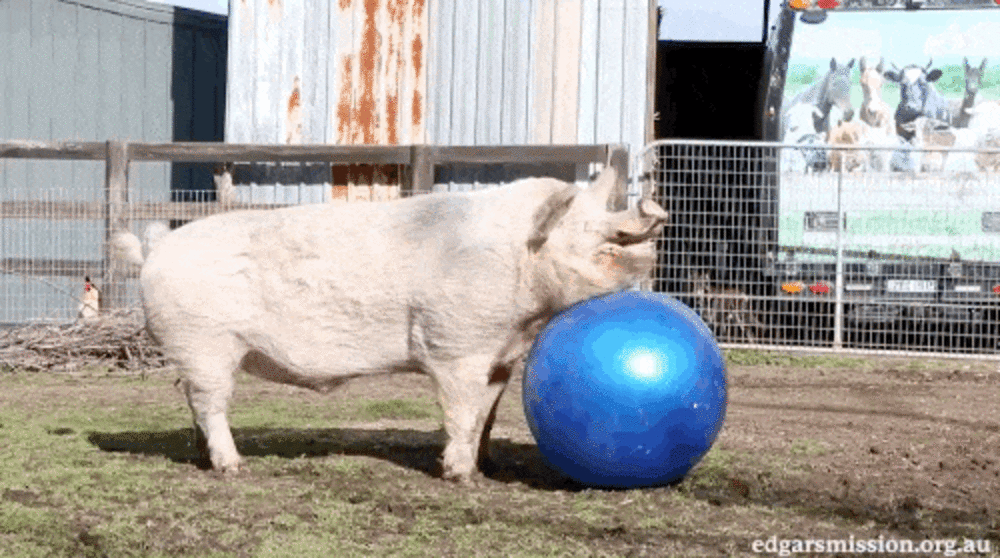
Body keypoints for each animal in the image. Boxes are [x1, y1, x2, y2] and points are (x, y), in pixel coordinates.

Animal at [114, 162, 669, 483]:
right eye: (586, 225)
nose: (654, 208)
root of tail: (155, 250)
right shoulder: (455, 346)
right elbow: (461, 413)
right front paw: (459, 477)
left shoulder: (500, 359)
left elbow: (486, 417)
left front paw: (487, 466)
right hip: (205, 343)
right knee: (211, 405)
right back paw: (233, 467)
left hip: (199, 353)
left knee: (194, 402)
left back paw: (205, 459)